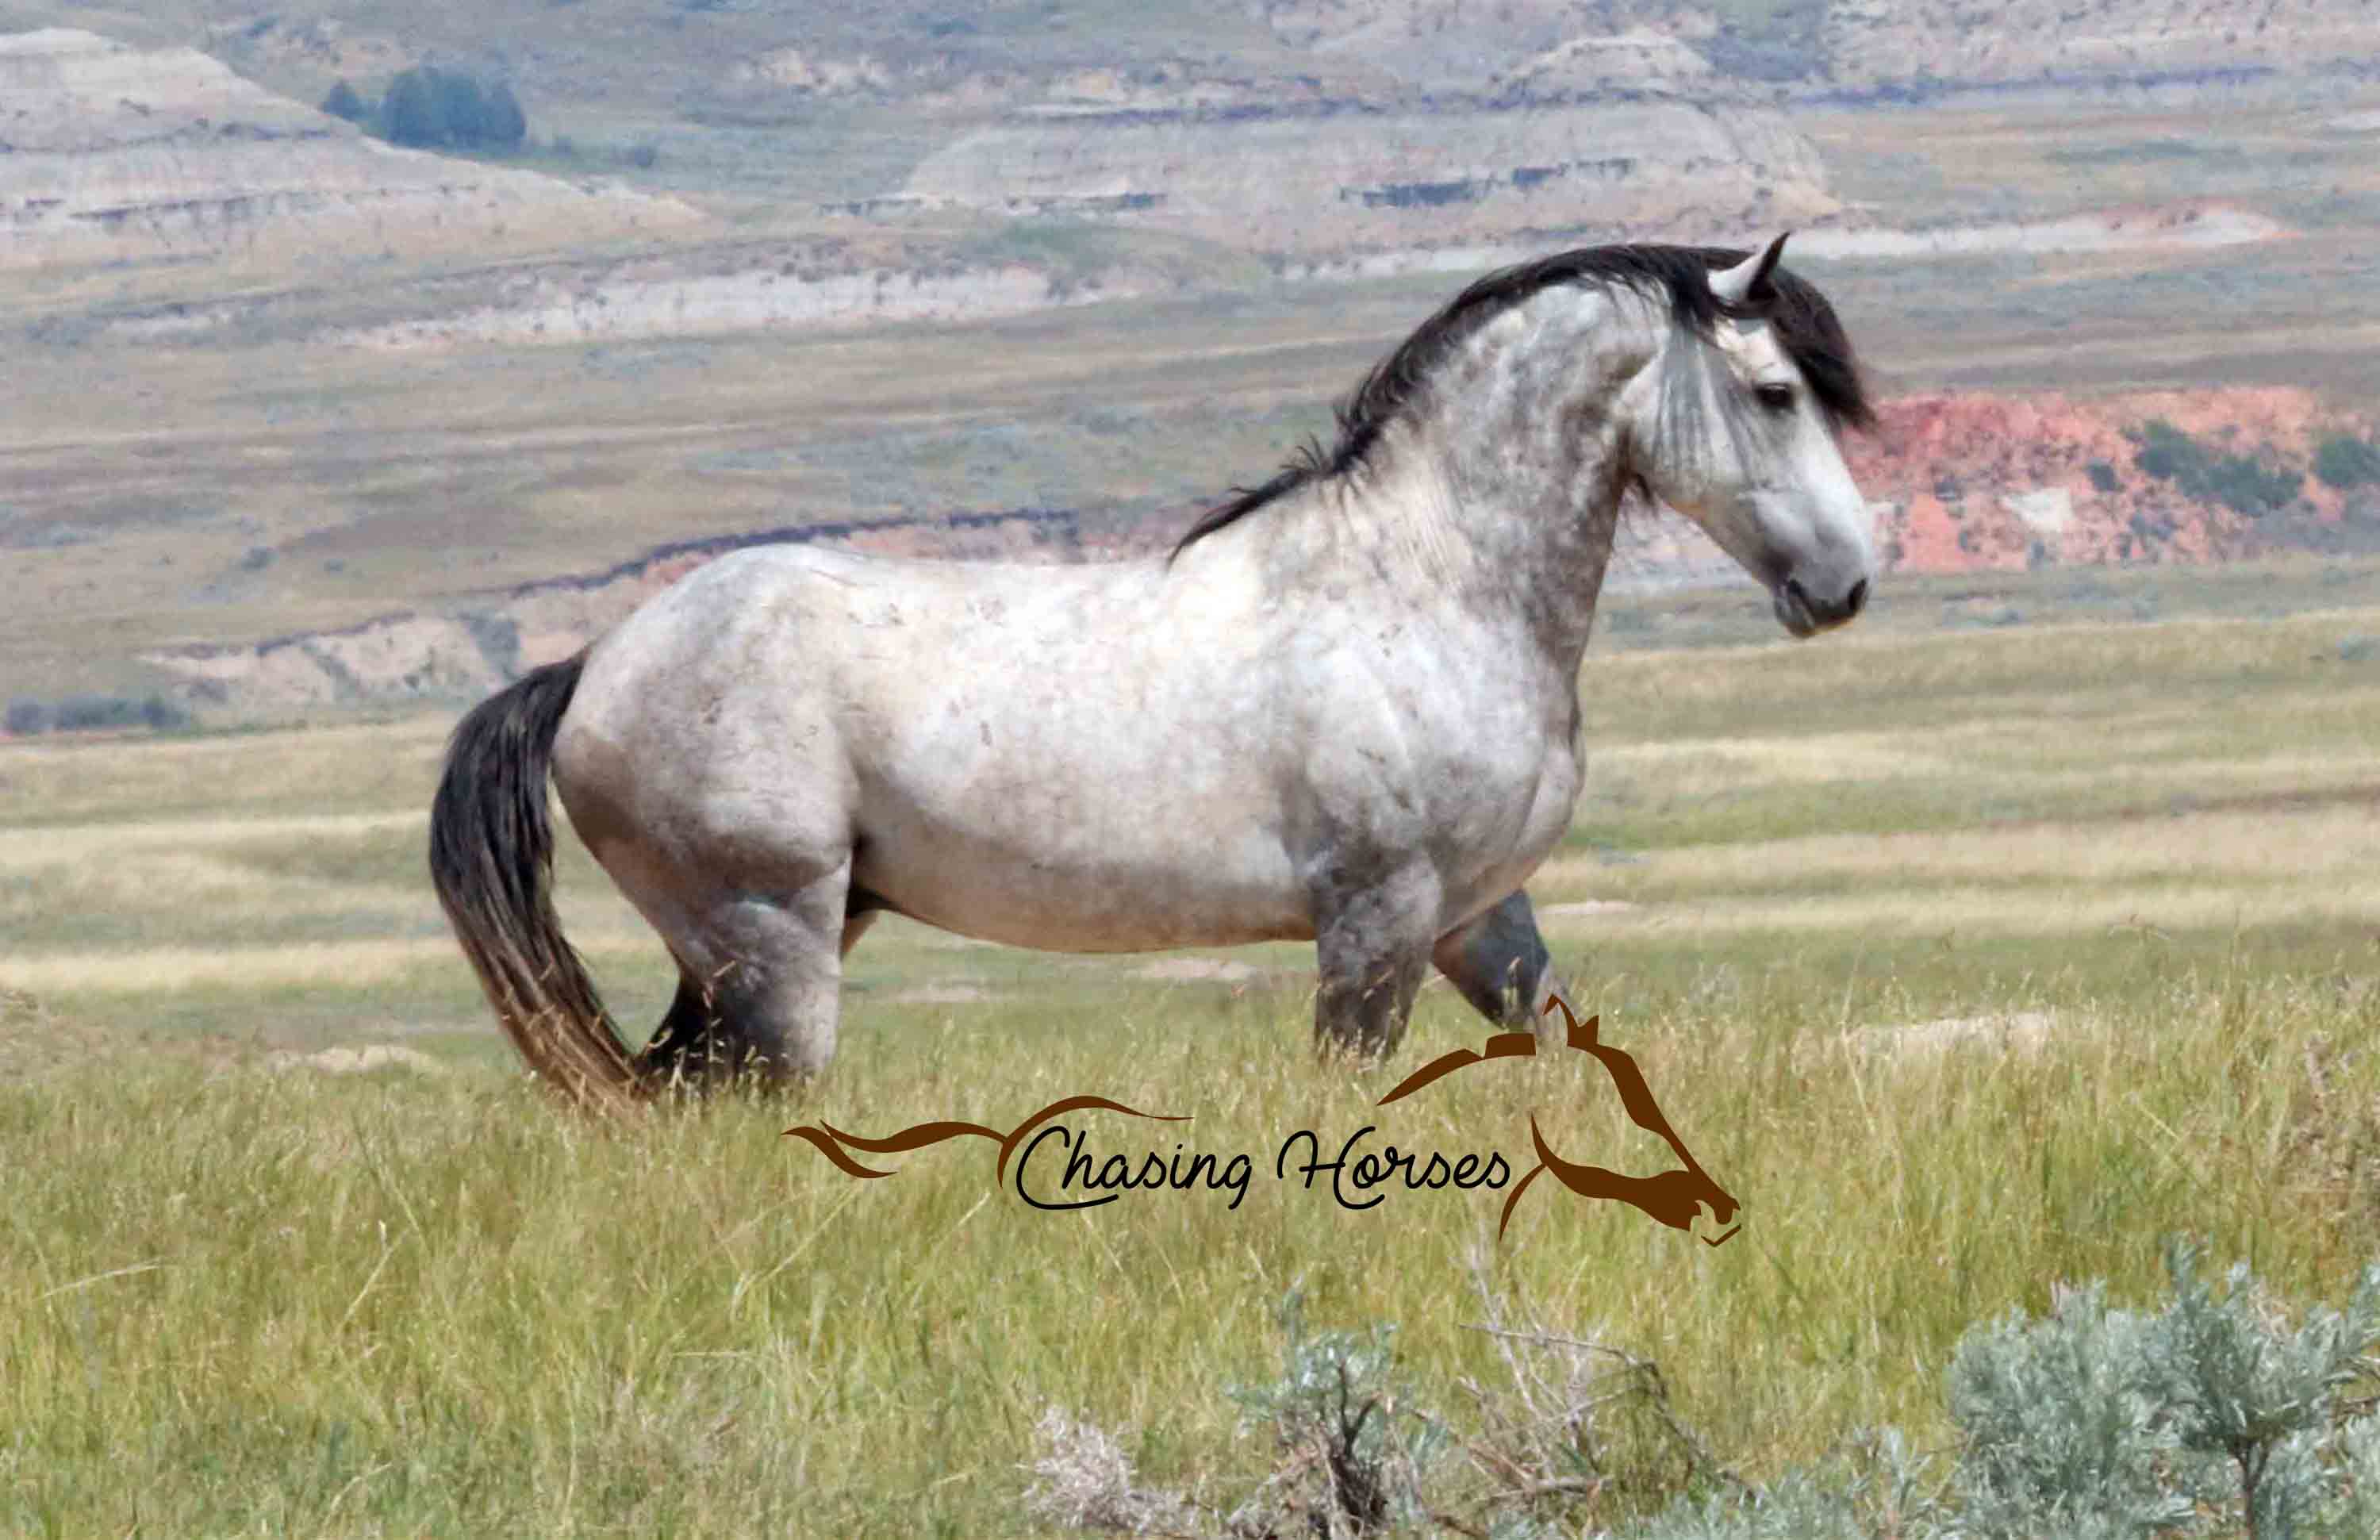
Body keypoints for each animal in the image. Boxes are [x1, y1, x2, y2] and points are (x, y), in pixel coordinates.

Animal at [429, 235, 1877, 1108]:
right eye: (1775, 394)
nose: (1850, 586)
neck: (1424, 584)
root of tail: (593, 665)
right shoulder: (1379, 919)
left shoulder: (1480, 915)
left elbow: (1560, 1042)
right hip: (771, 943)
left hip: (768, 940)